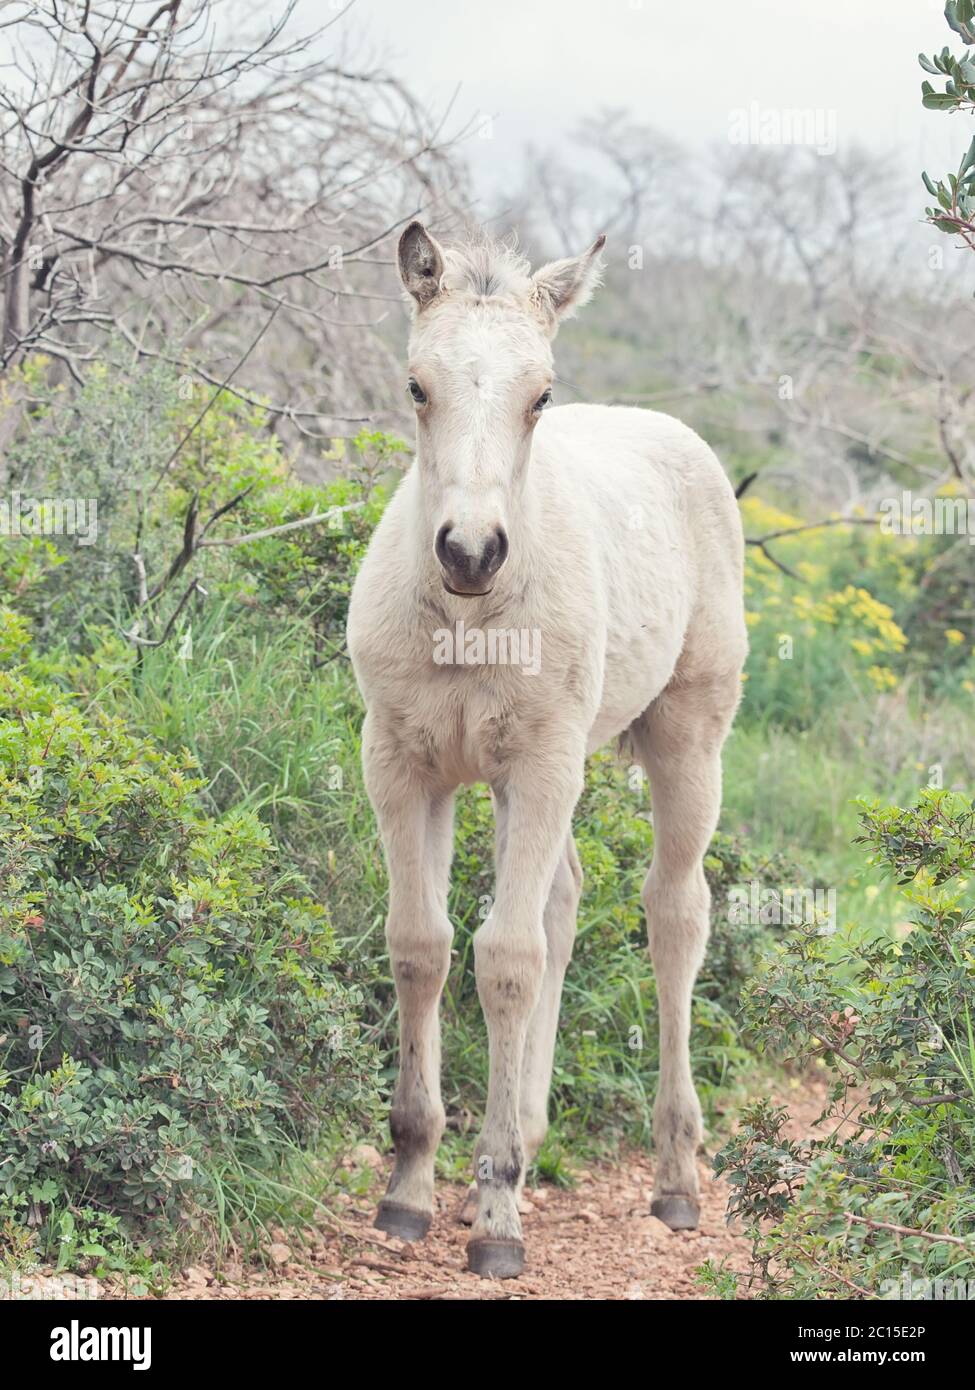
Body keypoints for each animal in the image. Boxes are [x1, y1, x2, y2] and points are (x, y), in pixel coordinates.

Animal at [347, 221, 747, 1279]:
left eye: (540, 396)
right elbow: (421, 947)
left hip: (684, 739)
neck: (468, 620)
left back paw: (674, 1178)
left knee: (673, 913)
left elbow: (507, 961)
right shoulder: (403, 765)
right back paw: (520, 1144)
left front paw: (496, 1222)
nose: (469, 550)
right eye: (417, 386)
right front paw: (410, 1188)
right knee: (564, 895)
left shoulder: (539, 765)